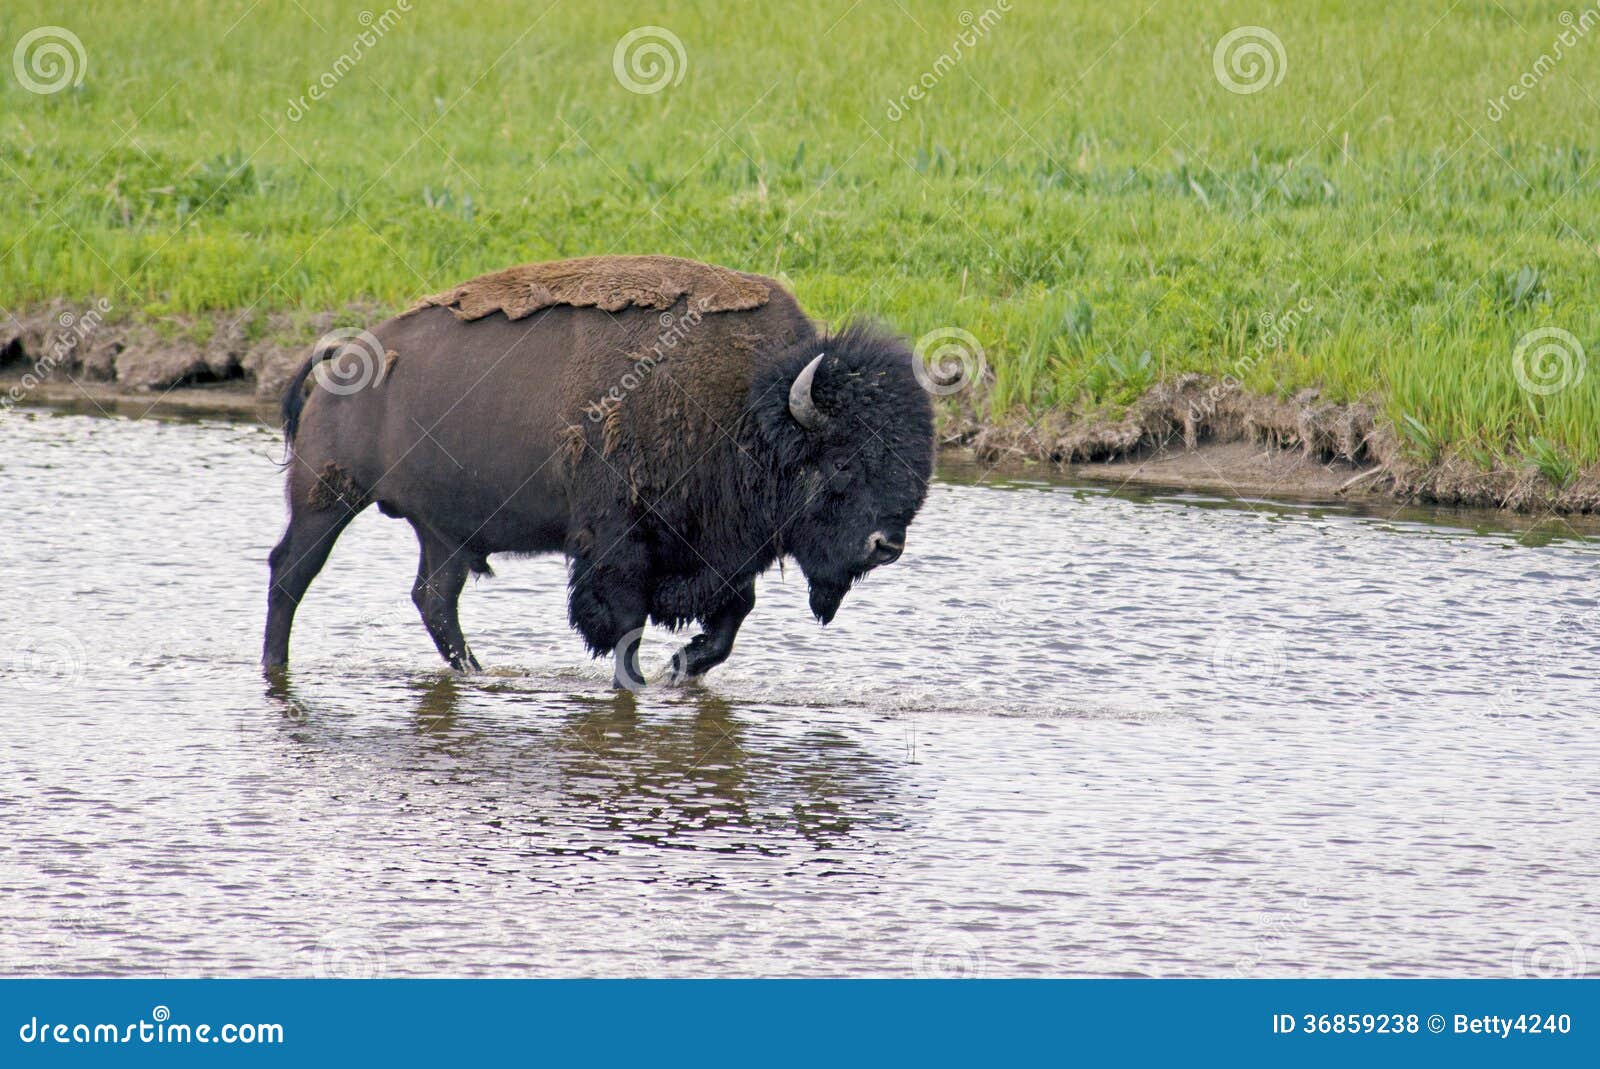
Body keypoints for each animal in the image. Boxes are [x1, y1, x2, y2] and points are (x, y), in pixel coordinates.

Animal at [263, 255, 935, 687]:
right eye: (843, 460)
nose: (888, 545)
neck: (745, 406)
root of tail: (342, 352)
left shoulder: (724, 554)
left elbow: (728, 623)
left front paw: (680, 668)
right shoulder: (618, 547)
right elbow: (625, 628)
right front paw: (639, 681)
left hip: (441, 532)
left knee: (434, 598)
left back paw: (477, 674)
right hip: (327, 499)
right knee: (291, 575)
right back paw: (276, 667)